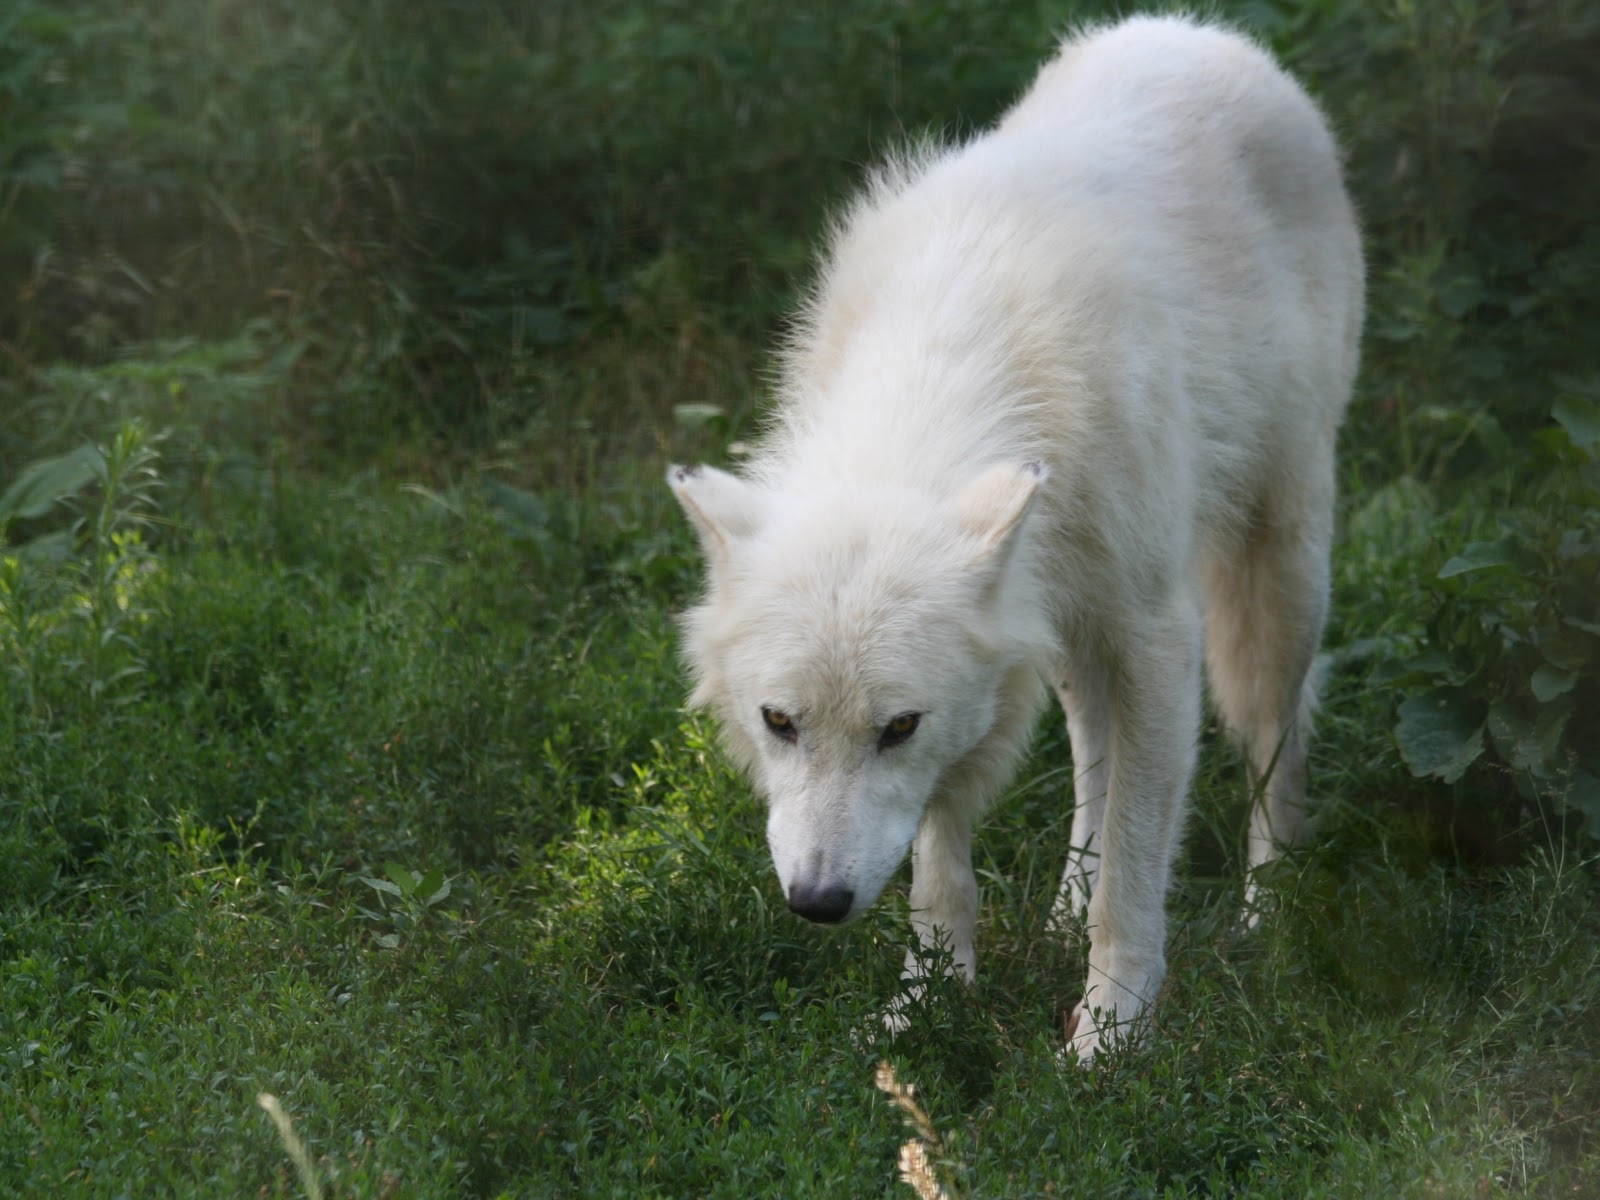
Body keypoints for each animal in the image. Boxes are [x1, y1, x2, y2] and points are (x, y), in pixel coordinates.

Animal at [669, 15, 1363, 1059]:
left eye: (895, 728)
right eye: (779, 723)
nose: (819, 903)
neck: (947, 367)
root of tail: (1198, 30)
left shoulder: (1157, 636)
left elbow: (1139, 865)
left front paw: (1110, 1039)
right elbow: (940, 867)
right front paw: (922, 1004)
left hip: (1277, 574)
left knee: (1275, 737)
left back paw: (1266, 915)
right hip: (1070, 630)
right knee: (1092, 749)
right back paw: (1065, 905)